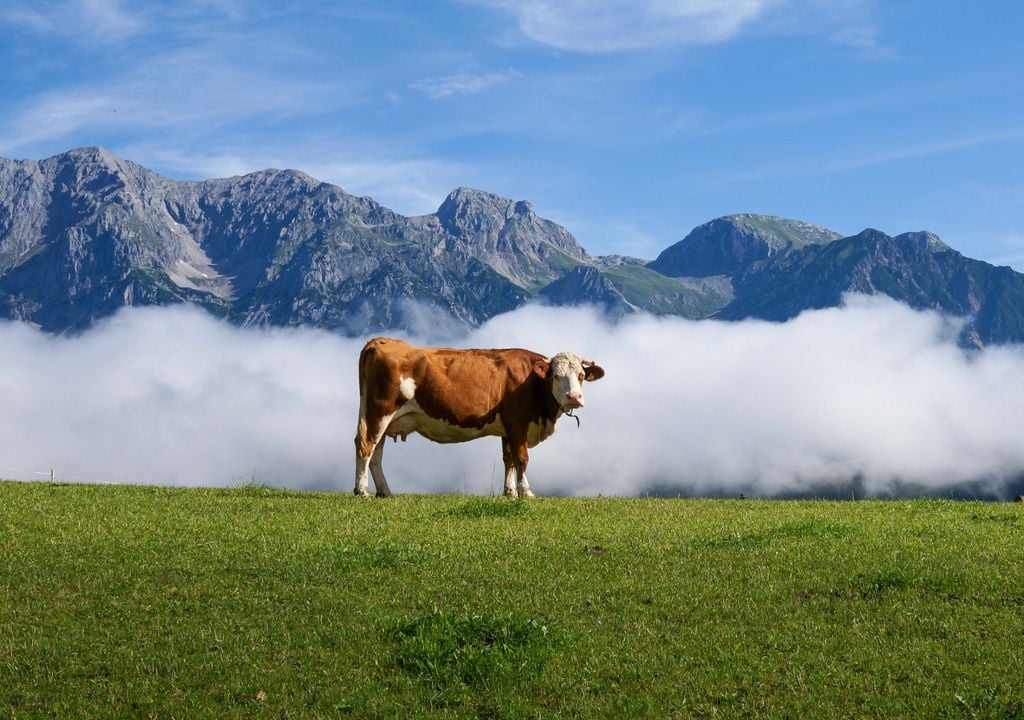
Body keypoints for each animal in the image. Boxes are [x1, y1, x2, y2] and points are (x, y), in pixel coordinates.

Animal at [354, 337, 605, 498]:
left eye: (581, 375)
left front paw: (509, 492)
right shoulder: (517, 421)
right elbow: (522, 458)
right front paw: (526, 492)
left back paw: (384, 491)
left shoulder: (507, 427)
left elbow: (508, 459)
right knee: (366, 445)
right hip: (380, 410)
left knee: (376, 453)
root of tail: (381, 341)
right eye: (556, 376)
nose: (574, 397)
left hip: (381, 416)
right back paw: (362, 491)